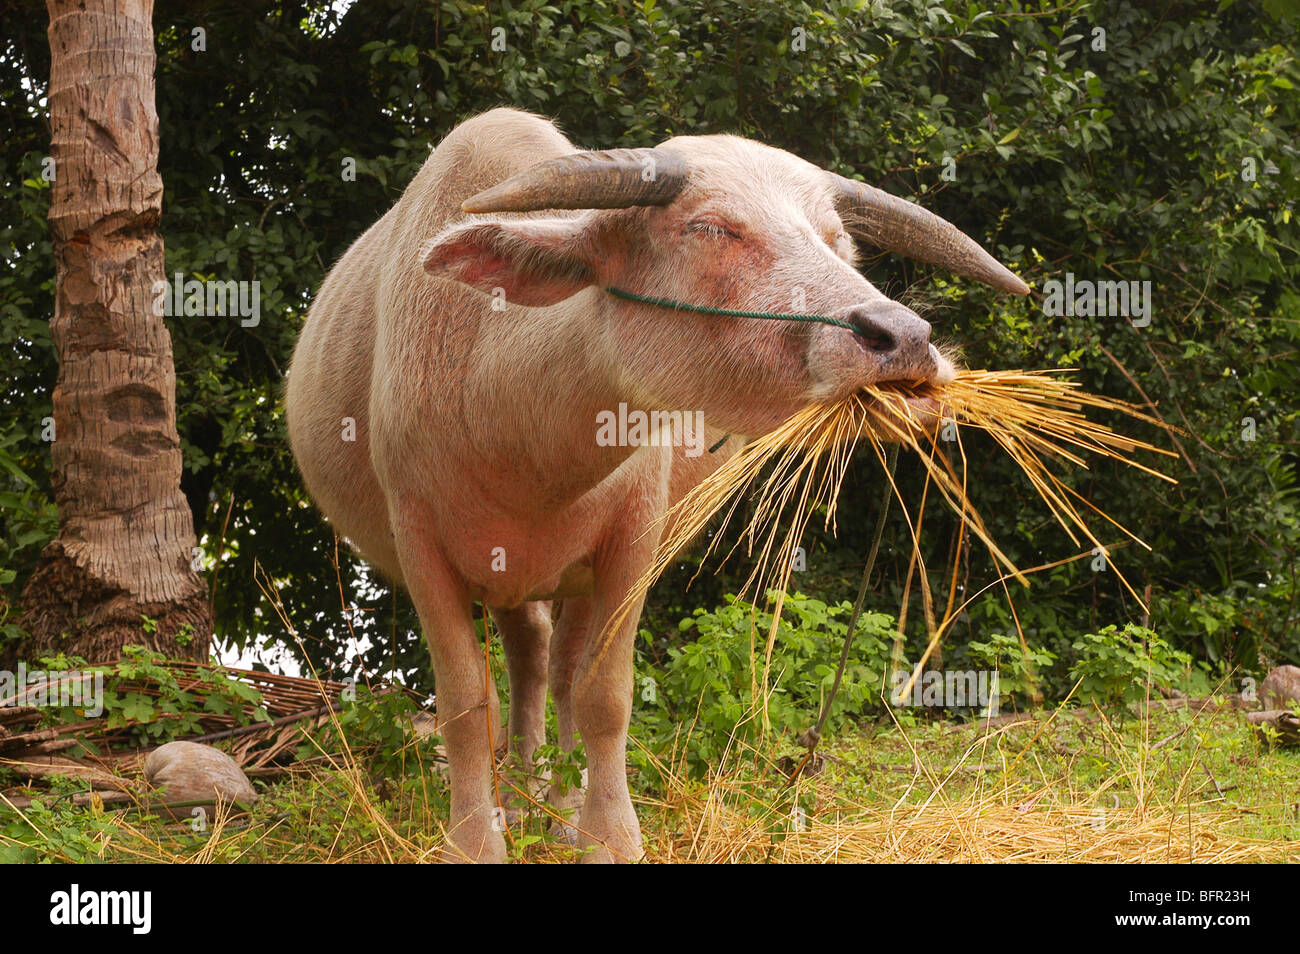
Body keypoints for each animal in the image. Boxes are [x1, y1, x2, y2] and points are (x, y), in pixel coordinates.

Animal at [285, 108, 1027, 863]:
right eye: (709, 227)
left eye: (837, 241)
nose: (905, 338)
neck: (511, 425)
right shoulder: (419, 547)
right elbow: (465, 704)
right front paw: (474, 839)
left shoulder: (632, 542)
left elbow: (603, 698)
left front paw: (607, 836)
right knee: (529, 662)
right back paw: (519, 802)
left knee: (553, 670)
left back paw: (553, 807)